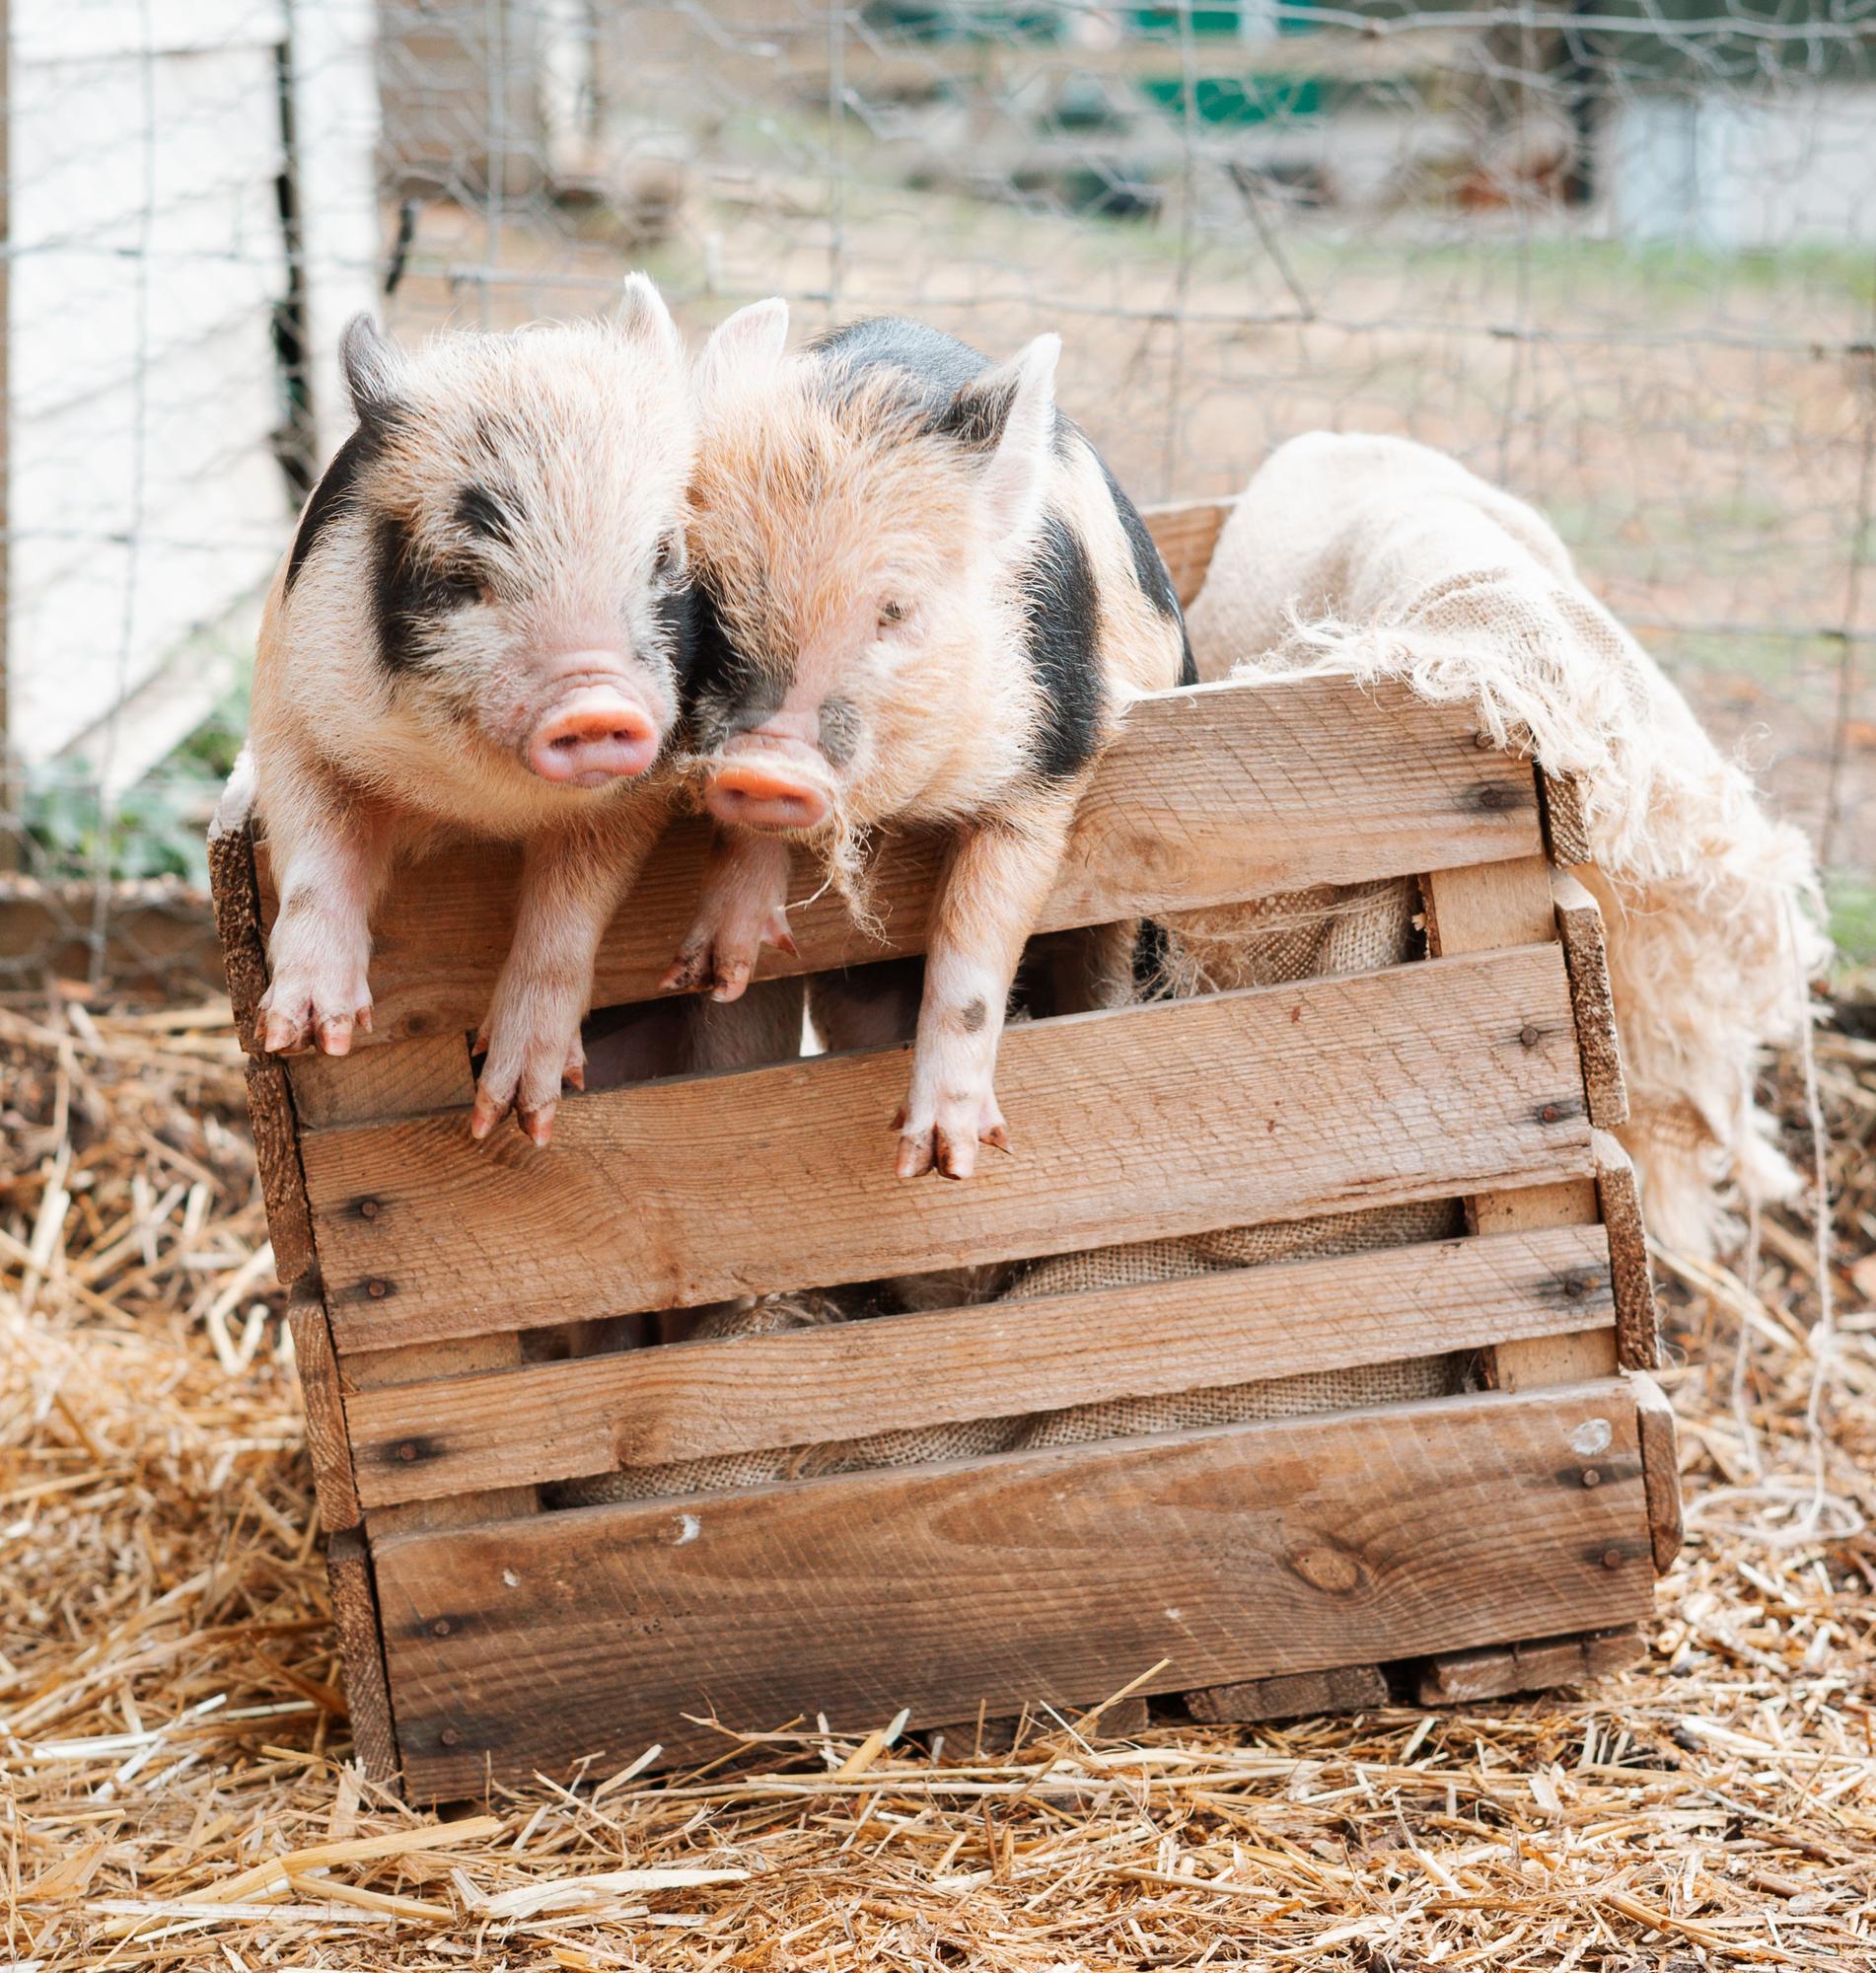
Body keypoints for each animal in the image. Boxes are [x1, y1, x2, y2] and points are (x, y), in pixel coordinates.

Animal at [247, 277, 698, 1146]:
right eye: (463, 574)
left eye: (663, 556)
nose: (593, 701)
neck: (479, 807)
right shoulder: (290, 702)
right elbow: (316, 842)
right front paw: (312, 1035)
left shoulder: (637, 798)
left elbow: (570, 909)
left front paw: (518, 1118)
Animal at [664, 306, 1194, 1178]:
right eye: (713, 600)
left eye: (895, 610)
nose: (767, 767)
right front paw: (717, 971)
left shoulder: (1051, 754)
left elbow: (978, 940)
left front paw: (939, 1164)